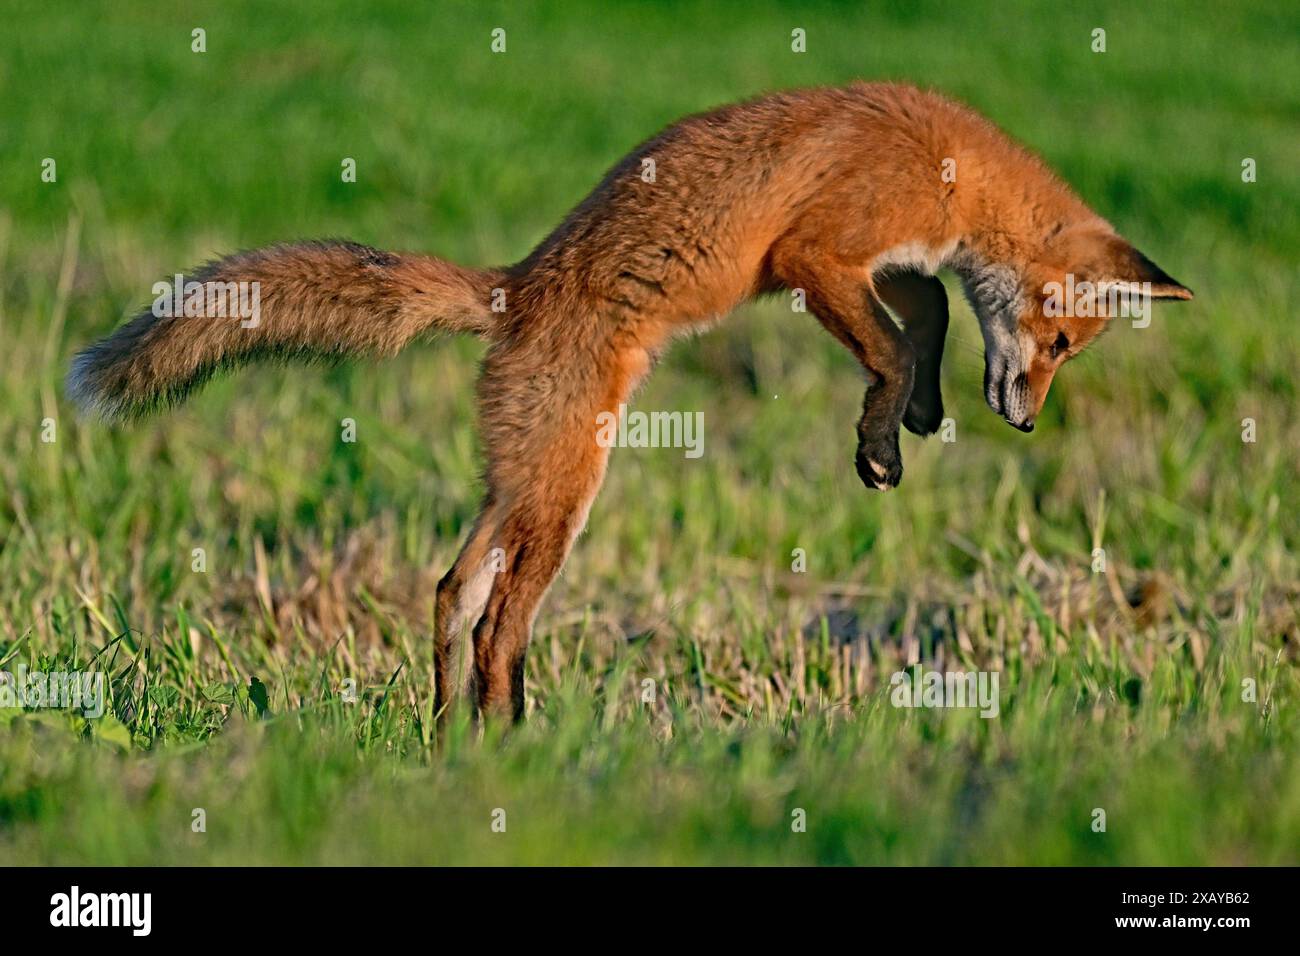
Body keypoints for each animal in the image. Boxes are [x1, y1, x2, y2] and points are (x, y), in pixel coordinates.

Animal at [67, 82, 1192, 722]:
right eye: (1060, 341)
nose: (1027, 419)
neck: (949, 167)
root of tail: (516, 285)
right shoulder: (816, 253)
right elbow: (890, 338)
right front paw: (885, 431)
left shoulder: (891, 260)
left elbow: (929, 316)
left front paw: (912, 414)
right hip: (567, 490)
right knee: (498, 627)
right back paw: (509, 745)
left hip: (521, 483)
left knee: (451, 592)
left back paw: (445, 745)